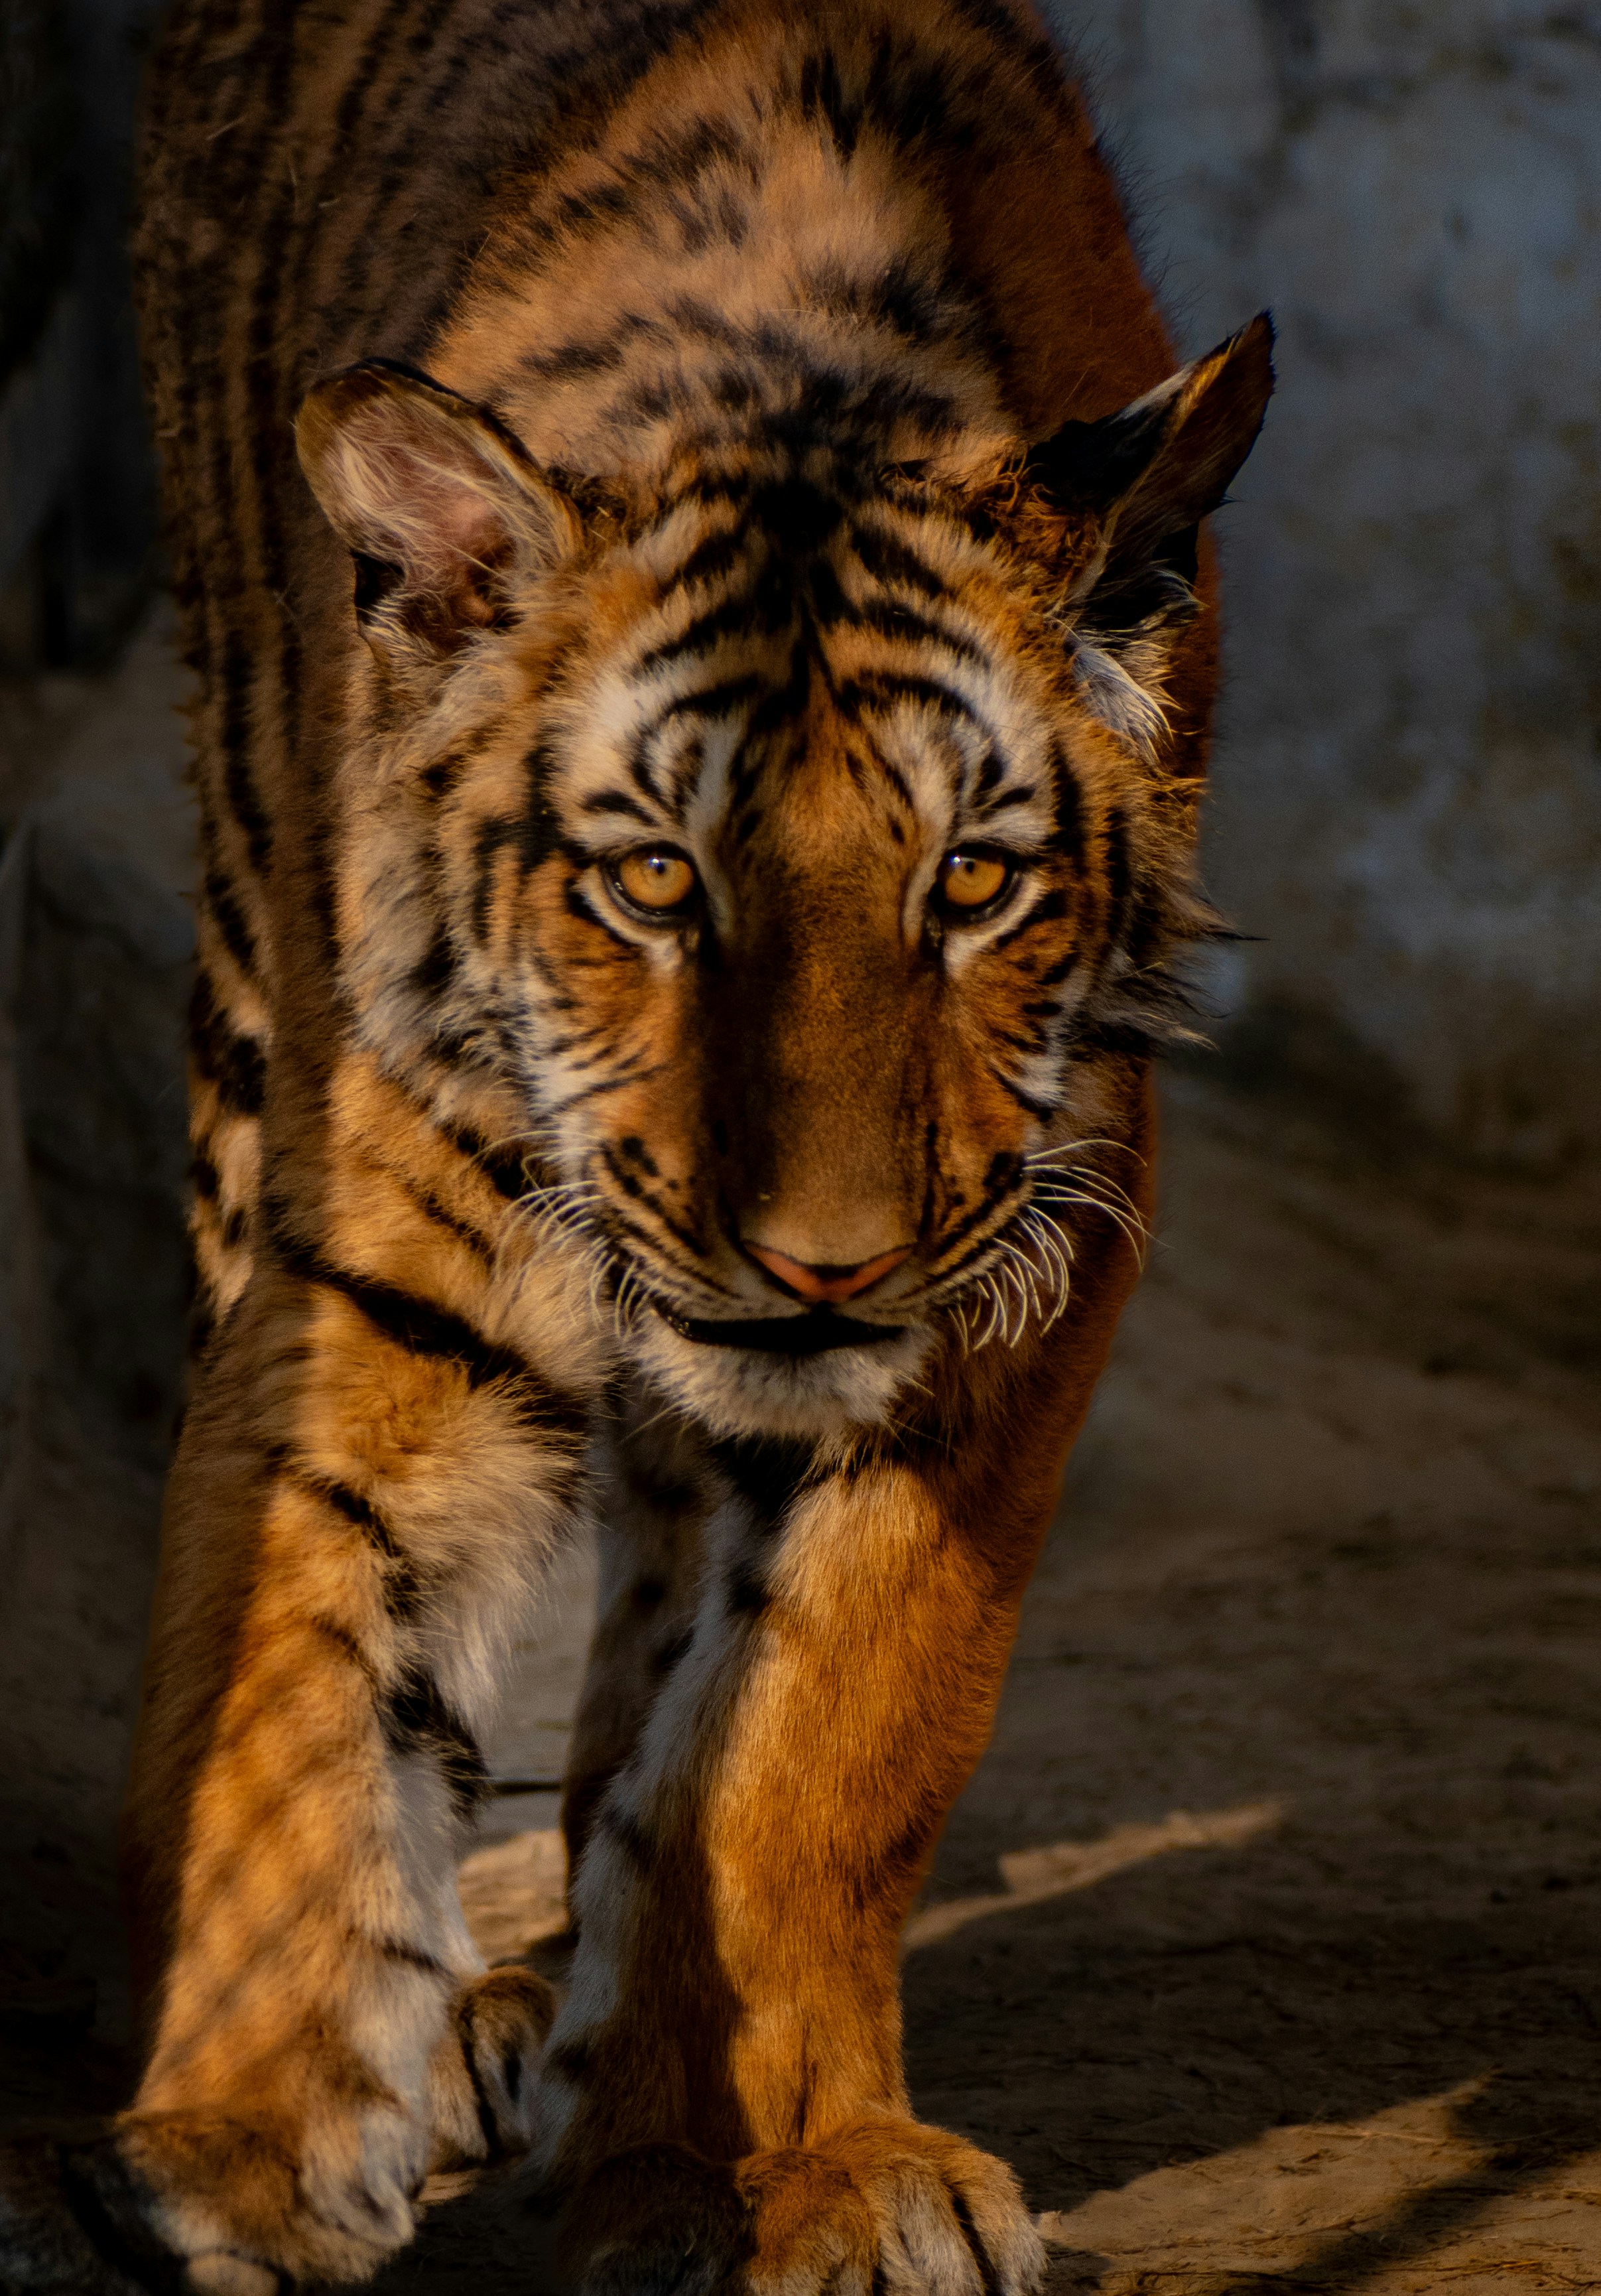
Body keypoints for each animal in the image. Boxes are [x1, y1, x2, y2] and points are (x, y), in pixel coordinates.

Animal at [0, 1, 1272, 2289]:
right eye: (656, 880)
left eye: (970, 882)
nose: (822, 1261)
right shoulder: (365, 1298)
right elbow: (281, 1693)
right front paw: (227, 2149)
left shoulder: (1014, 1291)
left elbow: (802, 1746)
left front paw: (782, 2160)